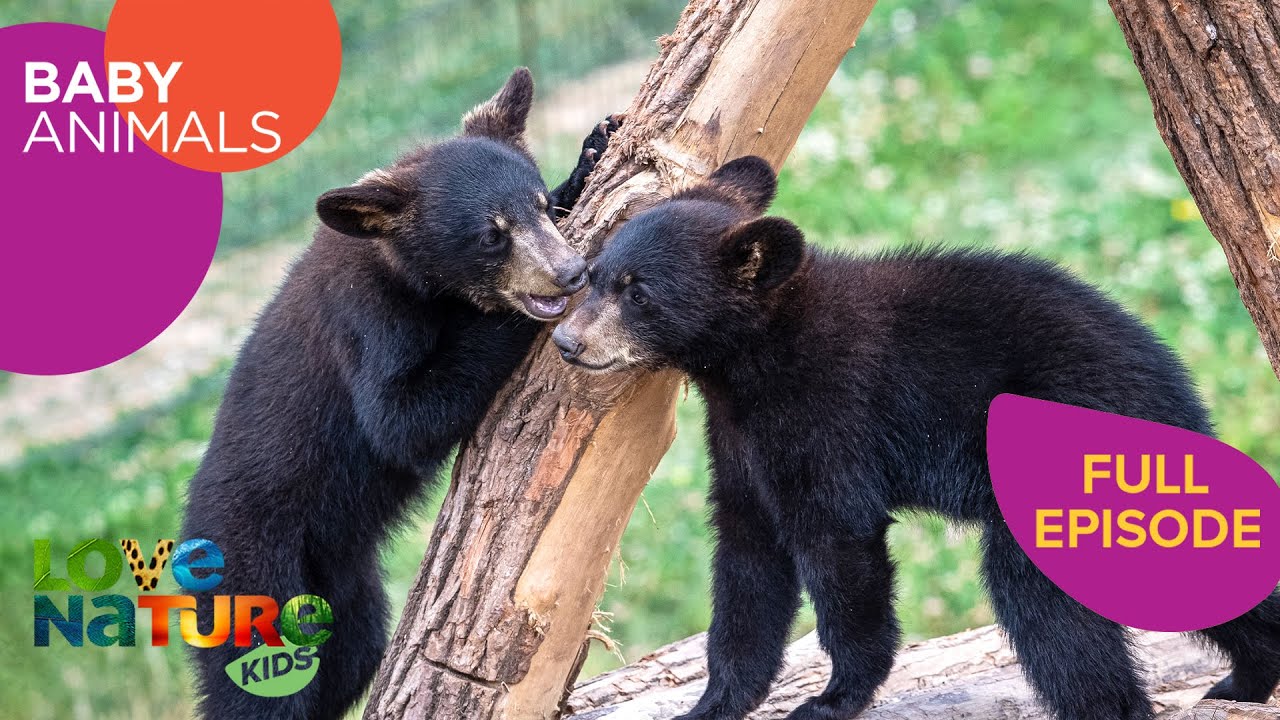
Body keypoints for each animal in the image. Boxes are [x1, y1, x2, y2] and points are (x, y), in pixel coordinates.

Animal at [181, 68, 619, 720]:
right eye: (491, 235)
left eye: (539, 205)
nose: (571, 273)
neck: (405, 272)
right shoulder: (369, 320)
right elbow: (400, 422)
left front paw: (593, 151)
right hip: (251, 570)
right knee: (257, 685)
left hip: (347, 587)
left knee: (349, 656)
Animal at [551, 156, 1280, 720]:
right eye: (595, 273)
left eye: (637, 291)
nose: (565, 341)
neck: (752, 361)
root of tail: (1175, 384)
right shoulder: (740, 440)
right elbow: (747, 562)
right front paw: (715, 701)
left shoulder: (826, 413)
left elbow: (840, 545)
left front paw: (834, 696)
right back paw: (1247, 677)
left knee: (1046, 603)